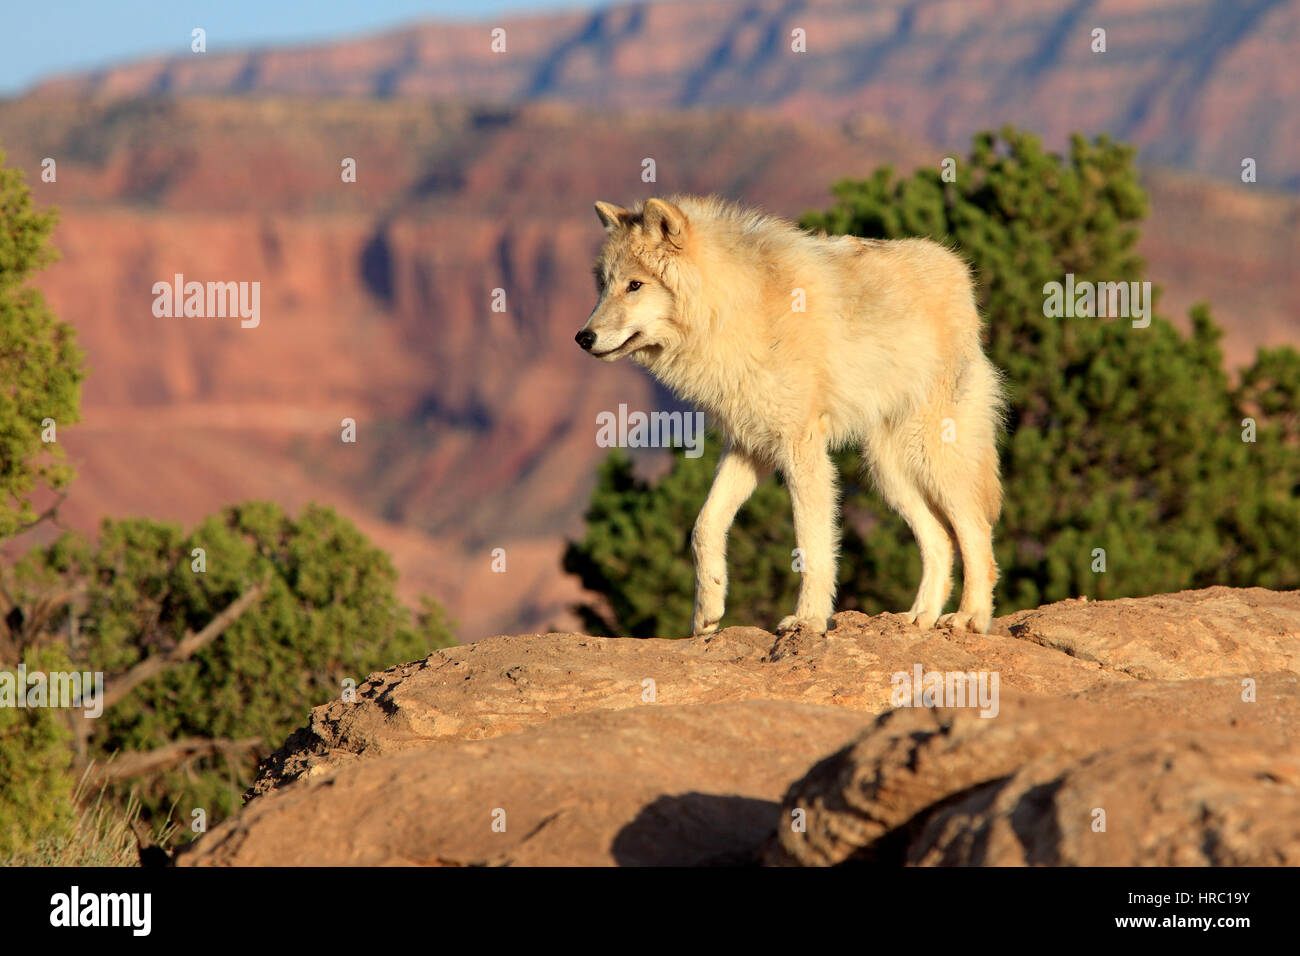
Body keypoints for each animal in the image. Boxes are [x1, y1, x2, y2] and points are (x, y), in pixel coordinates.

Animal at [576, 196, 1005, 635]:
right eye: (604, 285)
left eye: (635, 285)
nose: (583, 337)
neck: (734, 312)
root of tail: (957, 268)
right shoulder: (749, 445)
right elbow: (703, 526)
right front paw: (705, 615)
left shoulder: (801, 447)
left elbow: (811, 544)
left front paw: (809, 618)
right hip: (888, 473)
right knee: (941, 540)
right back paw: (919, 618)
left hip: (932, 458)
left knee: (977, 535)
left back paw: (970, 616)